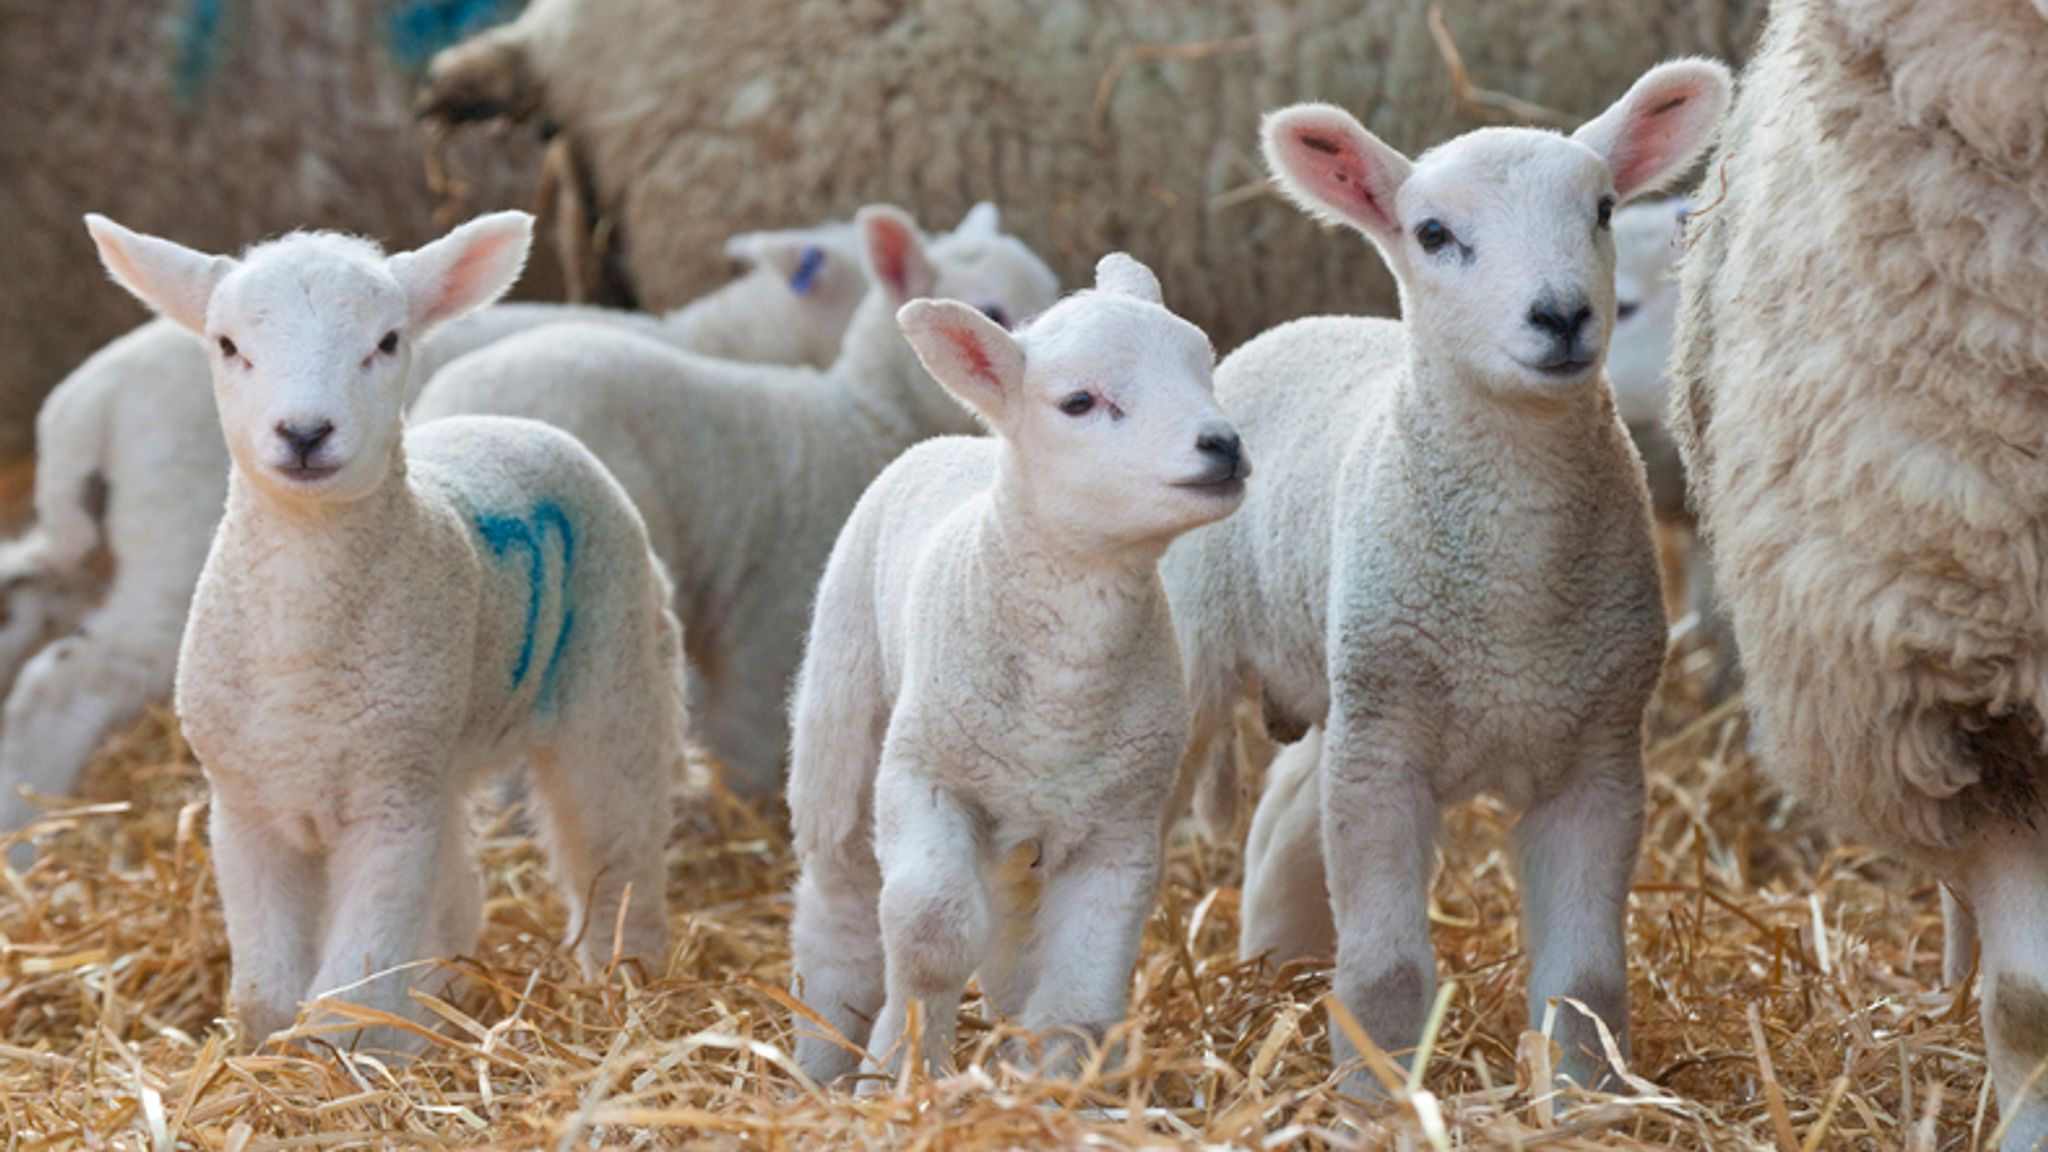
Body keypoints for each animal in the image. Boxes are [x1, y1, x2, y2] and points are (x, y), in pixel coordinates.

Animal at [0, 219, 865, 844]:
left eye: (385, 341)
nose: (306, 433)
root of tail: (84, 399)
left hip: (96, 545)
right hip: (170, 555)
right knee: (68, 679)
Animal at [81, 208, 686, 1055]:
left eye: (388, 340)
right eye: (227, 345)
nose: (304, 432)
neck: (302, 650)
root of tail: (510, 423)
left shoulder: (390, 804)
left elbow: (344, 995)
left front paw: (332, 1062)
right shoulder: (248, 806)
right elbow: (267, 992)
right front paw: (268, 1058)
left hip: (614, 675)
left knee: (618, 845)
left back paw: (628, 987)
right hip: (440, 752)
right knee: (459, 894)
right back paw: (438, 1009)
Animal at [785, 253, 1247, 1084]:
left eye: (1205, 366)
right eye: (1079, 402)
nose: (1222, 444)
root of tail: (949, 439)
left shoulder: (1122, 823)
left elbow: (1083, 977)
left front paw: (1056, 1083)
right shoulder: (924, 772)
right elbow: (930, 932)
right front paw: (901, 1068)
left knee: (1008, 933)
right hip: (841, 729)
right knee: (839, 902)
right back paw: (823, 1053)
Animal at [1161, 60, 1730, 1094]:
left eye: (1601, 209)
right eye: (1432, 234)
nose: (1561, 315)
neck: (1515, 585)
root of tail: (1297, 327)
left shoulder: (1599, 761)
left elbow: (1586, 980)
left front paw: (1585, 1099)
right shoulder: (1384, 760)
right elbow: (1387, 968)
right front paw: (1378, 1096)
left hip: (1347, 679)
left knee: (1286, 817)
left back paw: (1276, 969)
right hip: (1210, 661)